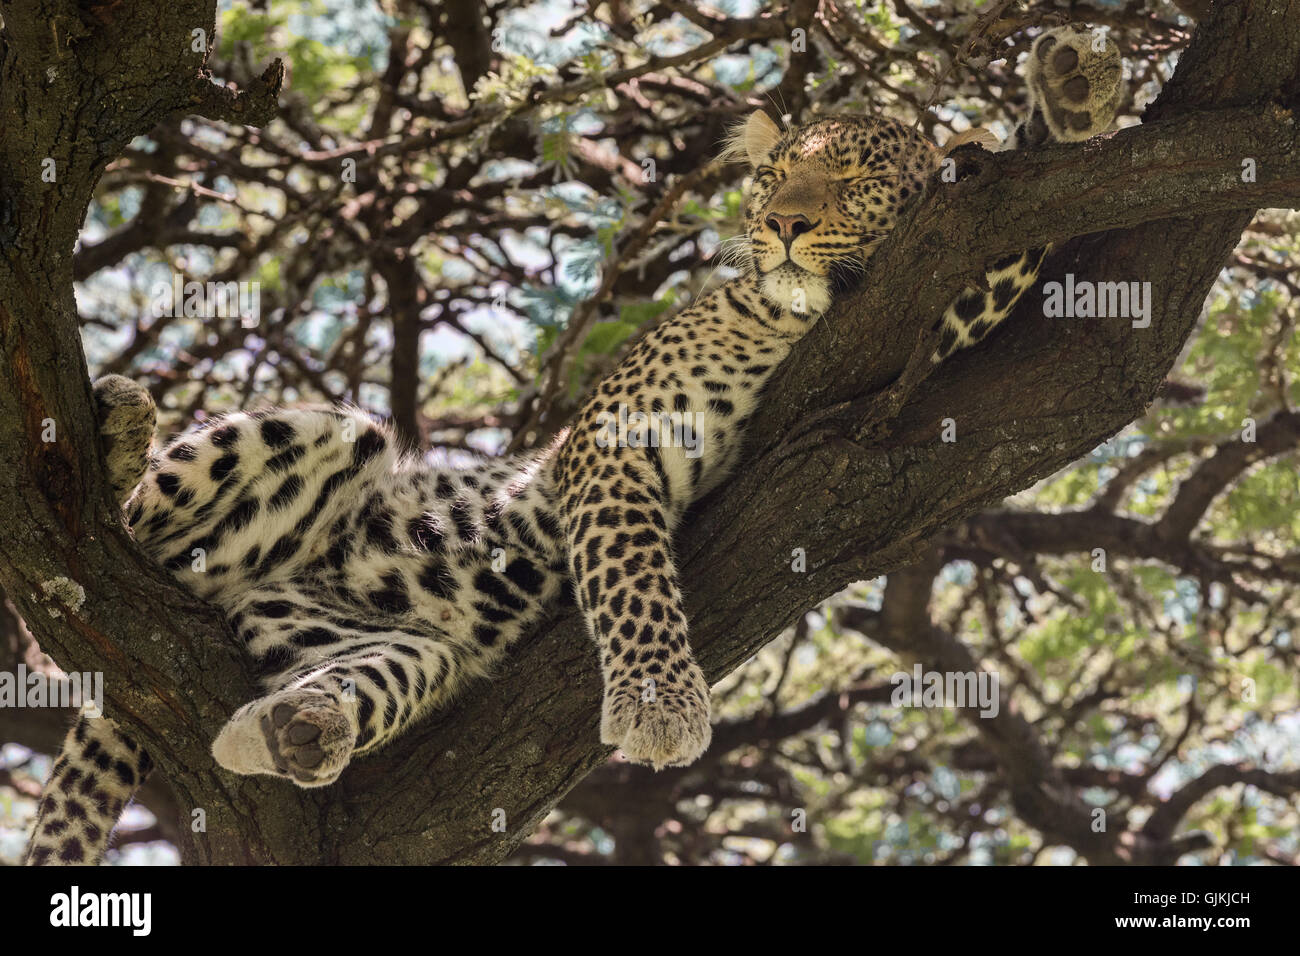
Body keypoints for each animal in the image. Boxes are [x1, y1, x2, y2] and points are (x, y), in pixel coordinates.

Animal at [23, 24, 1122, 865]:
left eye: (852, 176)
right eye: (774, 175)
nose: (781, 224)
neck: (787, 320)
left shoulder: (928, 320)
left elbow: (999, 245)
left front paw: (1069, 102)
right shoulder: (610, 439)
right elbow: (632, 575)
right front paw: (659, 703)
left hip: (365, 637)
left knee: (380, 664)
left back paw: (297, 728)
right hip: (331, 437)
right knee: (98, 569)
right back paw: (113, 451)